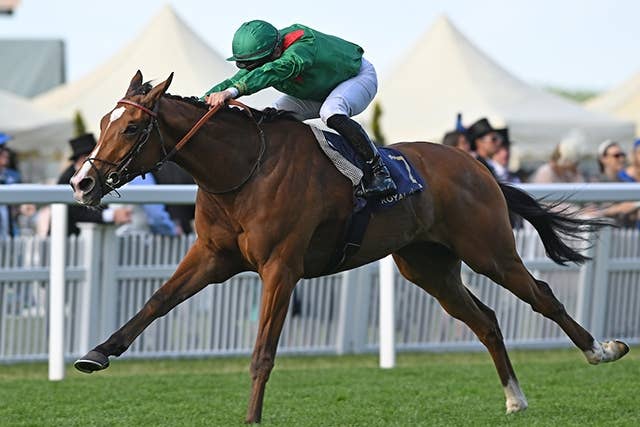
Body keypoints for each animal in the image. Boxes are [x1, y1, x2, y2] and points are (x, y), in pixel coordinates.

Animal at [70, 71, 629, 423]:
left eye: (133, 127)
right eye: (101, 125)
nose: (82, 183)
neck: (242, 169)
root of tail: (477, 166)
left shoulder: (281, 267)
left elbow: (262, 353)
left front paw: (251, 417)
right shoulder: (211, 256)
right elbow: (155, 302)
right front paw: (96, 353)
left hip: (488, 250)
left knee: (542, 296)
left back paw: (602, 349)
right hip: (428, 267)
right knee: (486, 319)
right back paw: (514, 400)